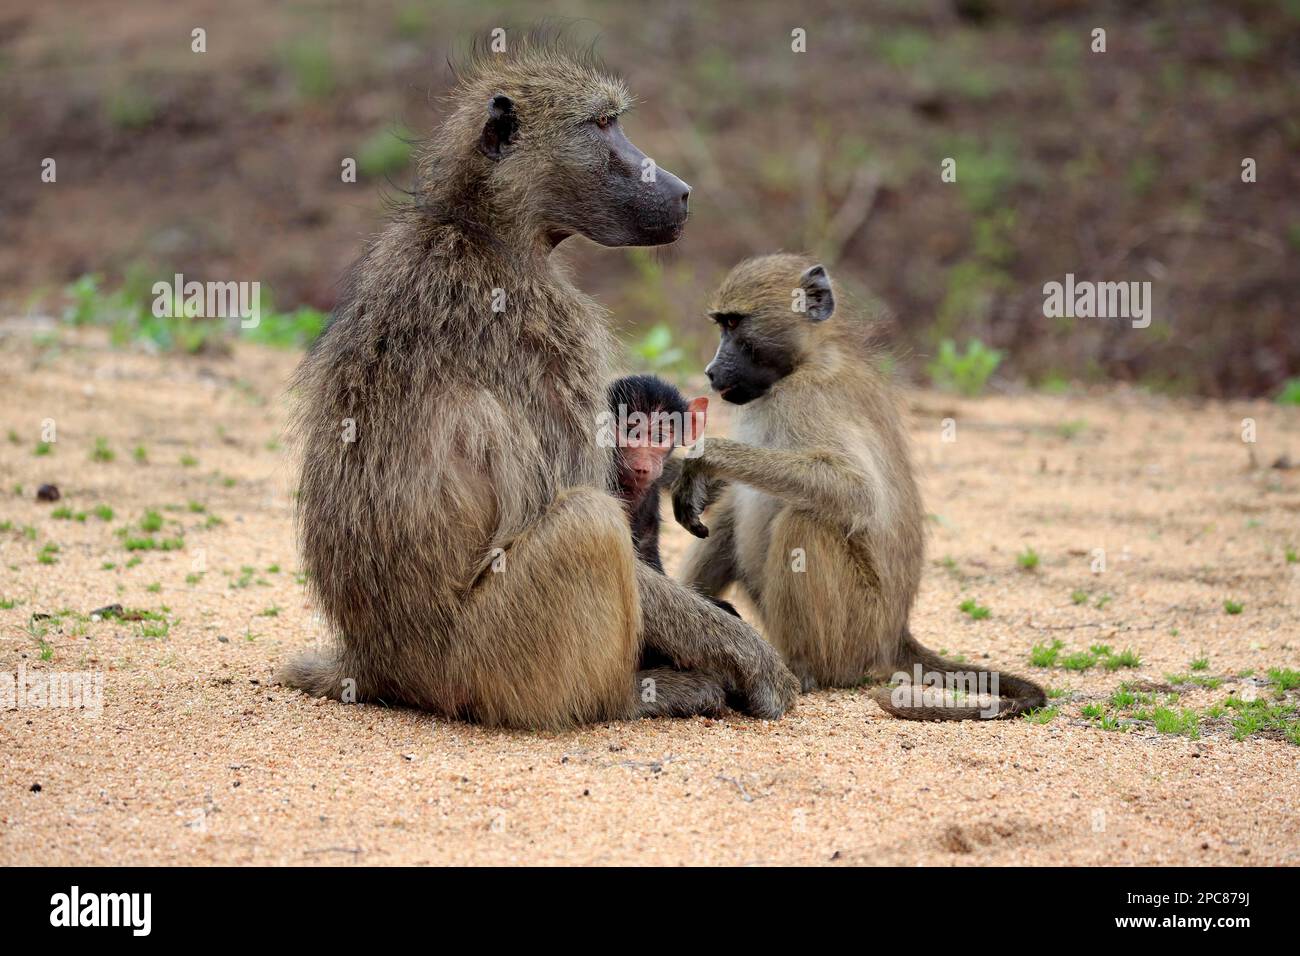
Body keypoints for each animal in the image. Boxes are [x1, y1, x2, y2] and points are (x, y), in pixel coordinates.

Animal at [671, 254, 1046, 720]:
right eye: (721, 324)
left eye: (735, 324)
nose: (710, 371)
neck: (809, 358)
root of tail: (894, 636)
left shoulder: (807, 398)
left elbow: (856, 491)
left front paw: (702, 458)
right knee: (733, 516)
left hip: (859, 626)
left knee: (804, 519)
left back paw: (800, 672)